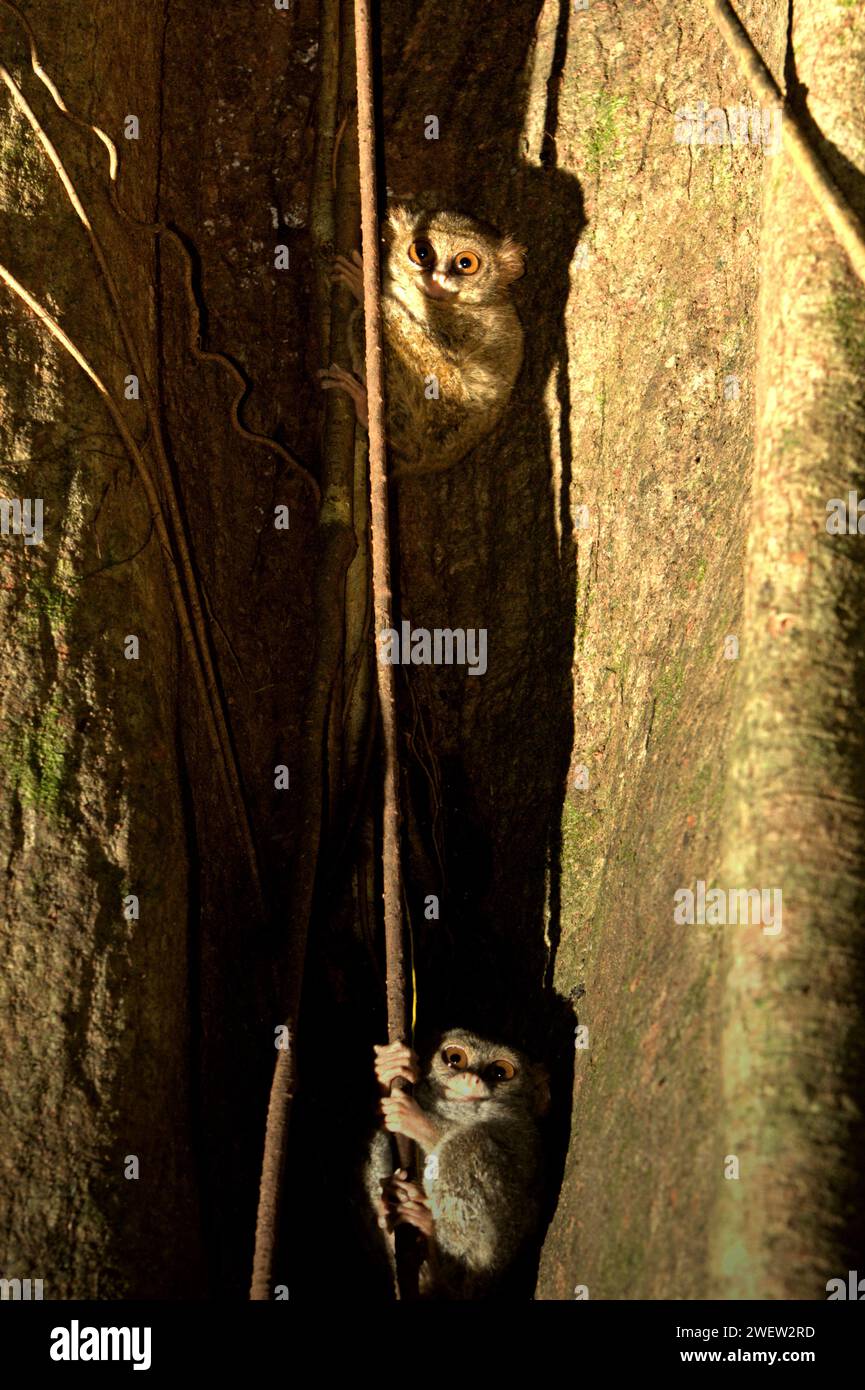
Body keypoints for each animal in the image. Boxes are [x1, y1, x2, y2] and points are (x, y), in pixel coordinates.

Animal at [319, 204, 525, 480]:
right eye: (422, 252)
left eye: (466, 263)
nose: (438, 278)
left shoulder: (470, 323)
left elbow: (440, 335)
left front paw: (362, 284)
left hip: (440, 399)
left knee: (370, 318)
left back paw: (365, 405)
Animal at [365, 1029, 550, 1298]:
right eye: (455, 1059)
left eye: (501, 1072)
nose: (471, 1078)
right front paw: (391, 1065)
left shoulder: (518, 1131)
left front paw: (416, 1119)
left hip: (495, 1250)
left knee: (464, 1142)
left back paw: (427, 1226)